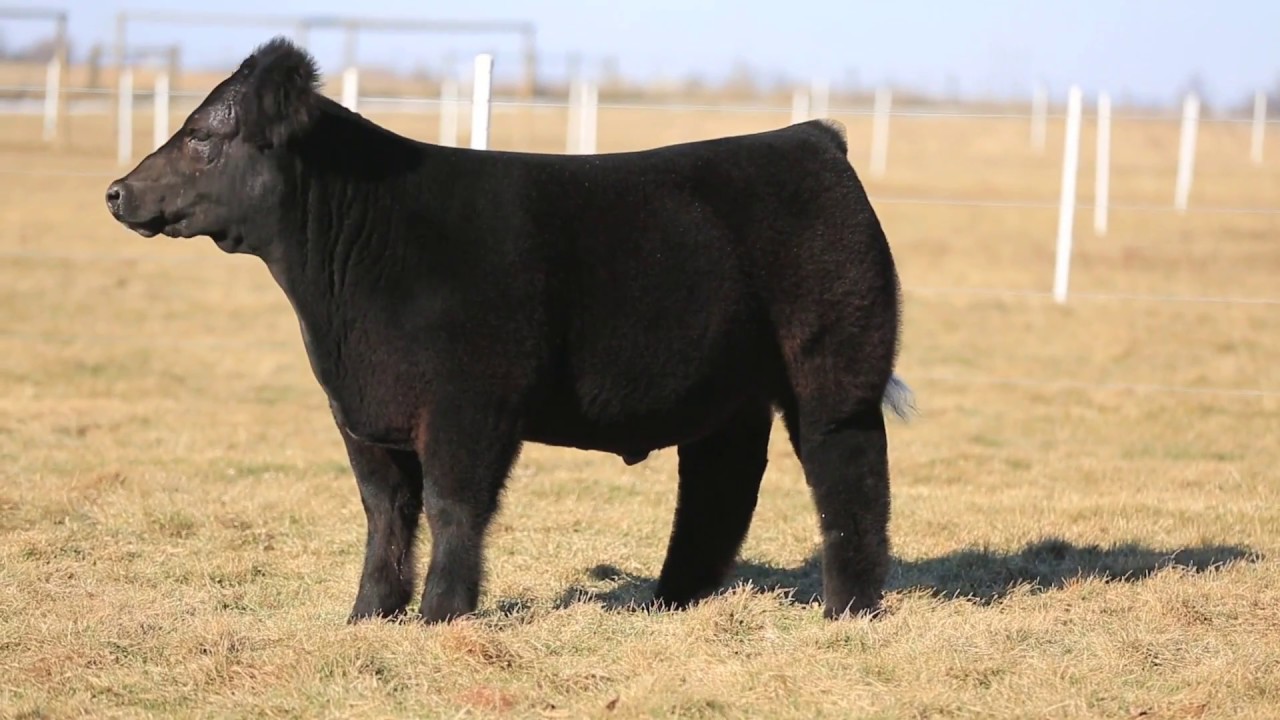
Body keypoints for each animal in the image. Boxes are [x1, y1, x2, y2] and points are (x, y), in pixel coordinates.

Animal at [104, 37, 916, 624]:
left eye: (204, 136)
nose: (117, 191)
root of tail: (813, 137)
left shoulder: (470, 405)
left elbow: (452, 508)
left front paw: (441, 616)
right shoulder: (360, 413)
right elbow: (385, 515)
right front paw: (368, 616)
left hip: (833, 370)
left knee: (848, 472)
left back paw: (849, 608)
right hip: (727, 395)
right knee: (720, 487)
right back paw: (670, 601)